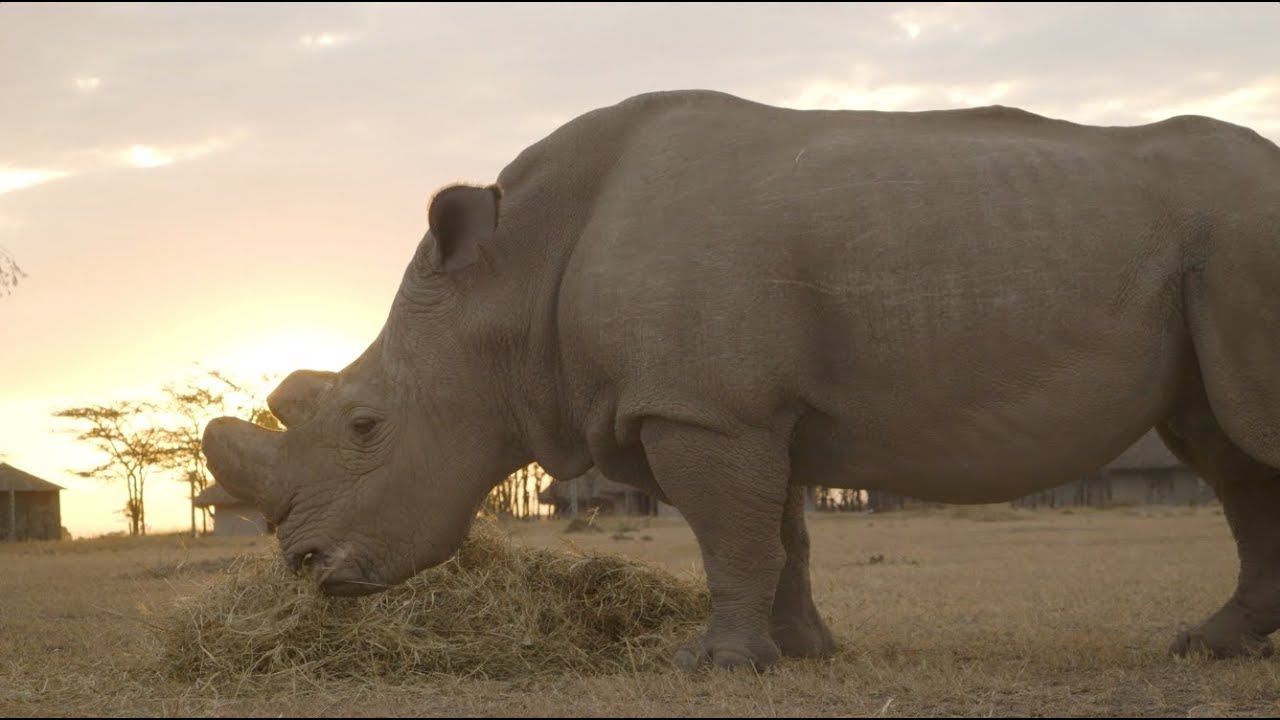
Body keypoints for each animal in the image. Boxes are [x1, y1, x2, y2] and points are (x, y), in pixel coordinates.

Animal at [203, 89, 1280, 670]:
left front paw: (710, 666)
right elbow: (780, 533)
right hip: (1206, 264)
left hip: (1241, 239)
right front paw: (798, 655)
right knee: (1229, 459)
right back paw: (1211, 646)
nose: (303, 567)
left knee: (1243, 447)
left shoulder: (705, 407)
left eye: (363, 425)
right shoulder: (752, 406)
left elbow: (730, 534)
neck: (509, 284)